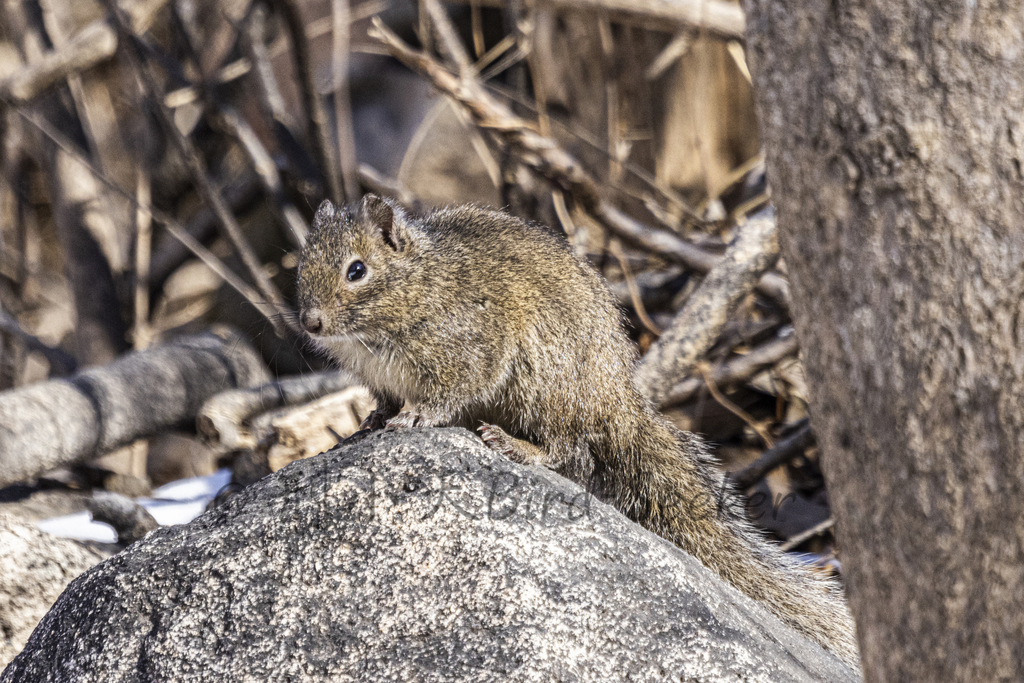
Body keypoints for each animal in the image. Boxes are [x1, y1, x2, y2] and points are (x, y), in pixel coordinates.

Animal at [297, 194, 859, 667]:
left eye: (357, 270)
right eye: (302, 264)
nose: (310, 322)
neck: (417, 284)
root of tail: (617, 404)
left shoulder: (468, 347)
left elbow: (449, 393)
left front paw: (415, 418)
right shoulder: (381, 379)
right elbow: (383, 401)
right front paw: (368, 422)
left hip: (545, 383)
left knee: (572, 450)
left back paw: (519, 447)